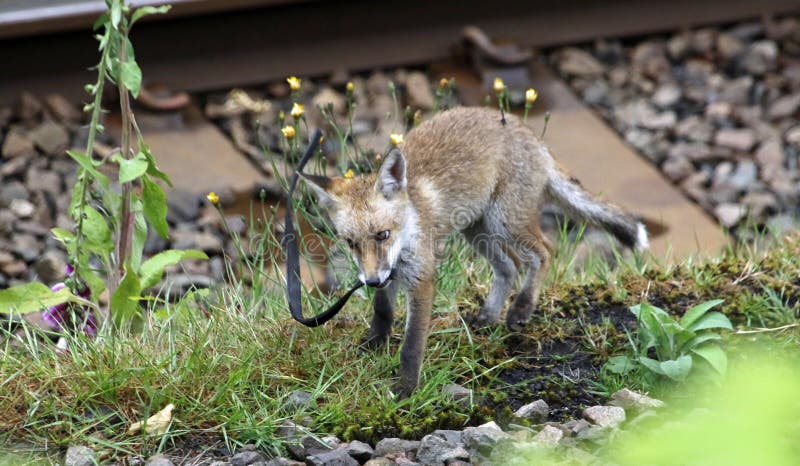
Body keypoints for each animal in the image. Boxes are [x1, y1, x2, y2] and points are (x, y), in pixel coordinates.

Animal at [301, 106, 648, 397]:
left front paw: (406, 390)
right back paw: (488, 317)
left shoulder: (421, 279)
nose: (370, 281)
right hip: (478, 230)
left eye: (383, 235)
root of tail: (527, 132)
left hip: (504, 222)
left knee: (545, 252)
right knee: (509, 266)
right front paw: (373, 346)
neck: (410, 227)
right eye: (350, 242)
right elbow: (383, 312)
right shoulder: (389, 275)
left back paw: (521, 308)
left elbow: (412, 346)